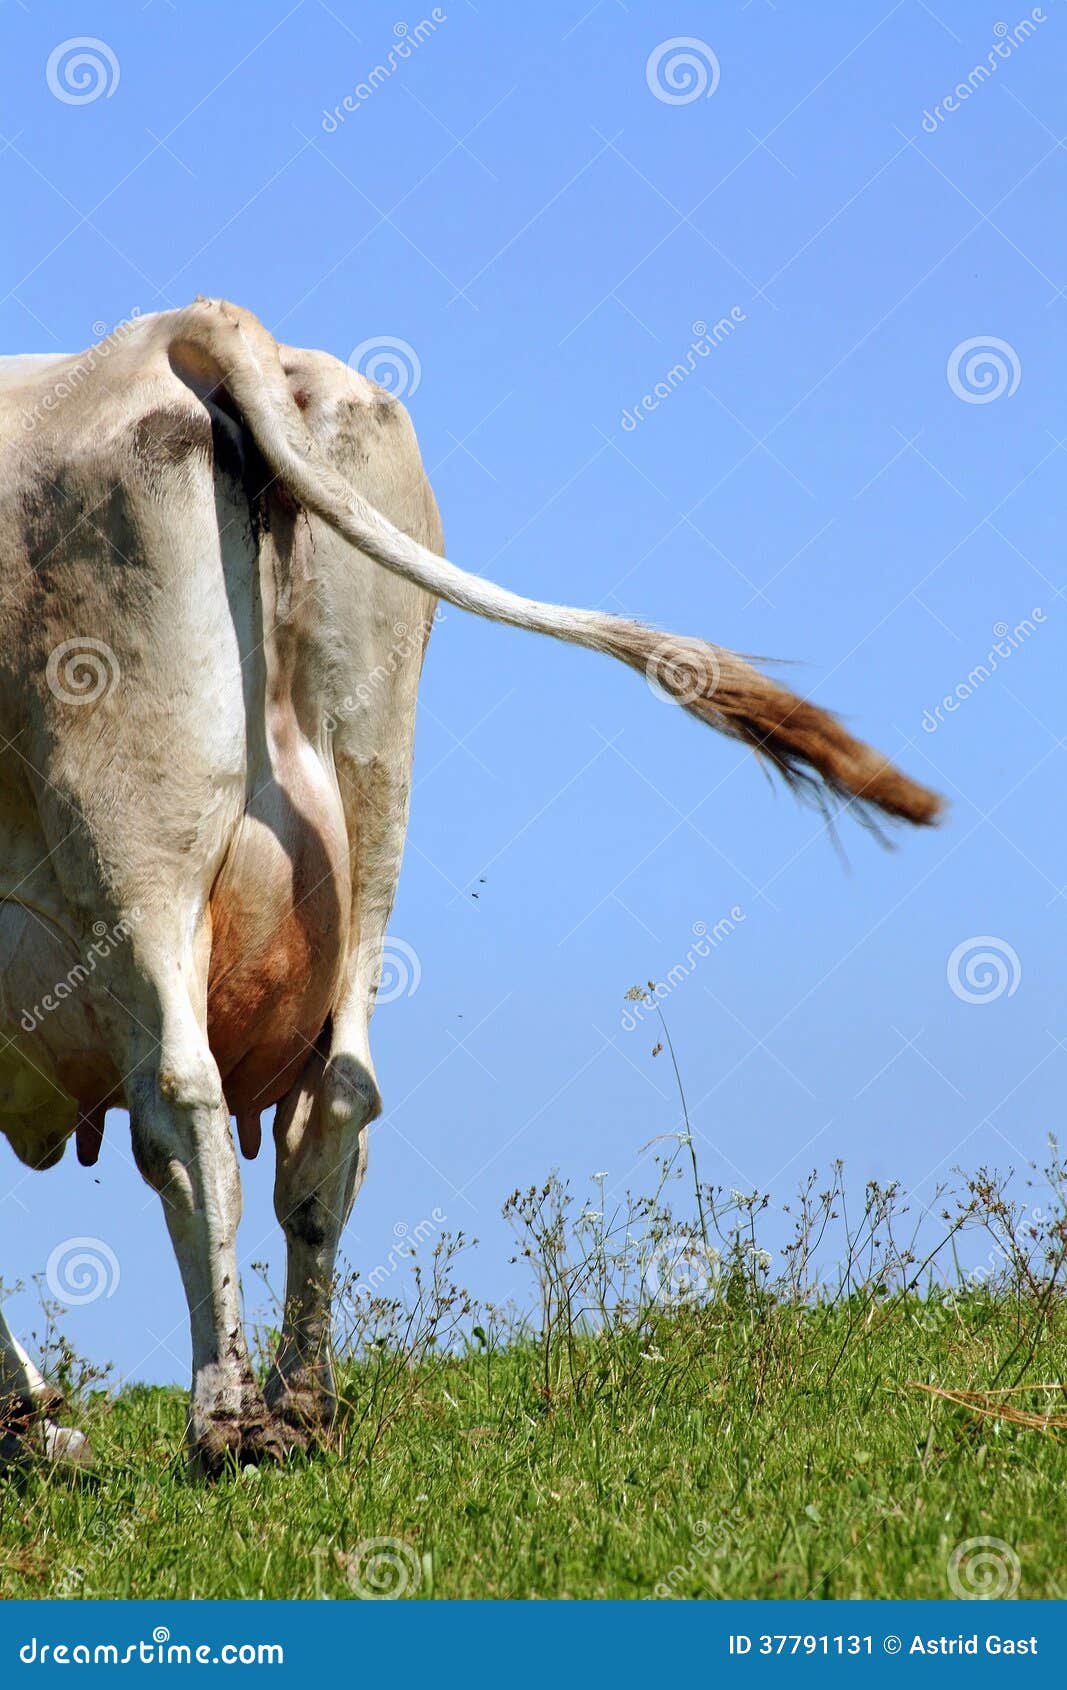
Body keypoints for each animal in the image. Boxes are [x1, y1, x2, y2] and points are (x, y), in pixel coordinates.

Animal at [0, 299, 941, 1474]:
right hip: (370, 804)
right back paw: (301, 1403)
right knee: (338, 1098)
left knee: (185, 1108)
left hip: (134, 838)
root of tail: (189, 326)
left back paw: (227, 1419)